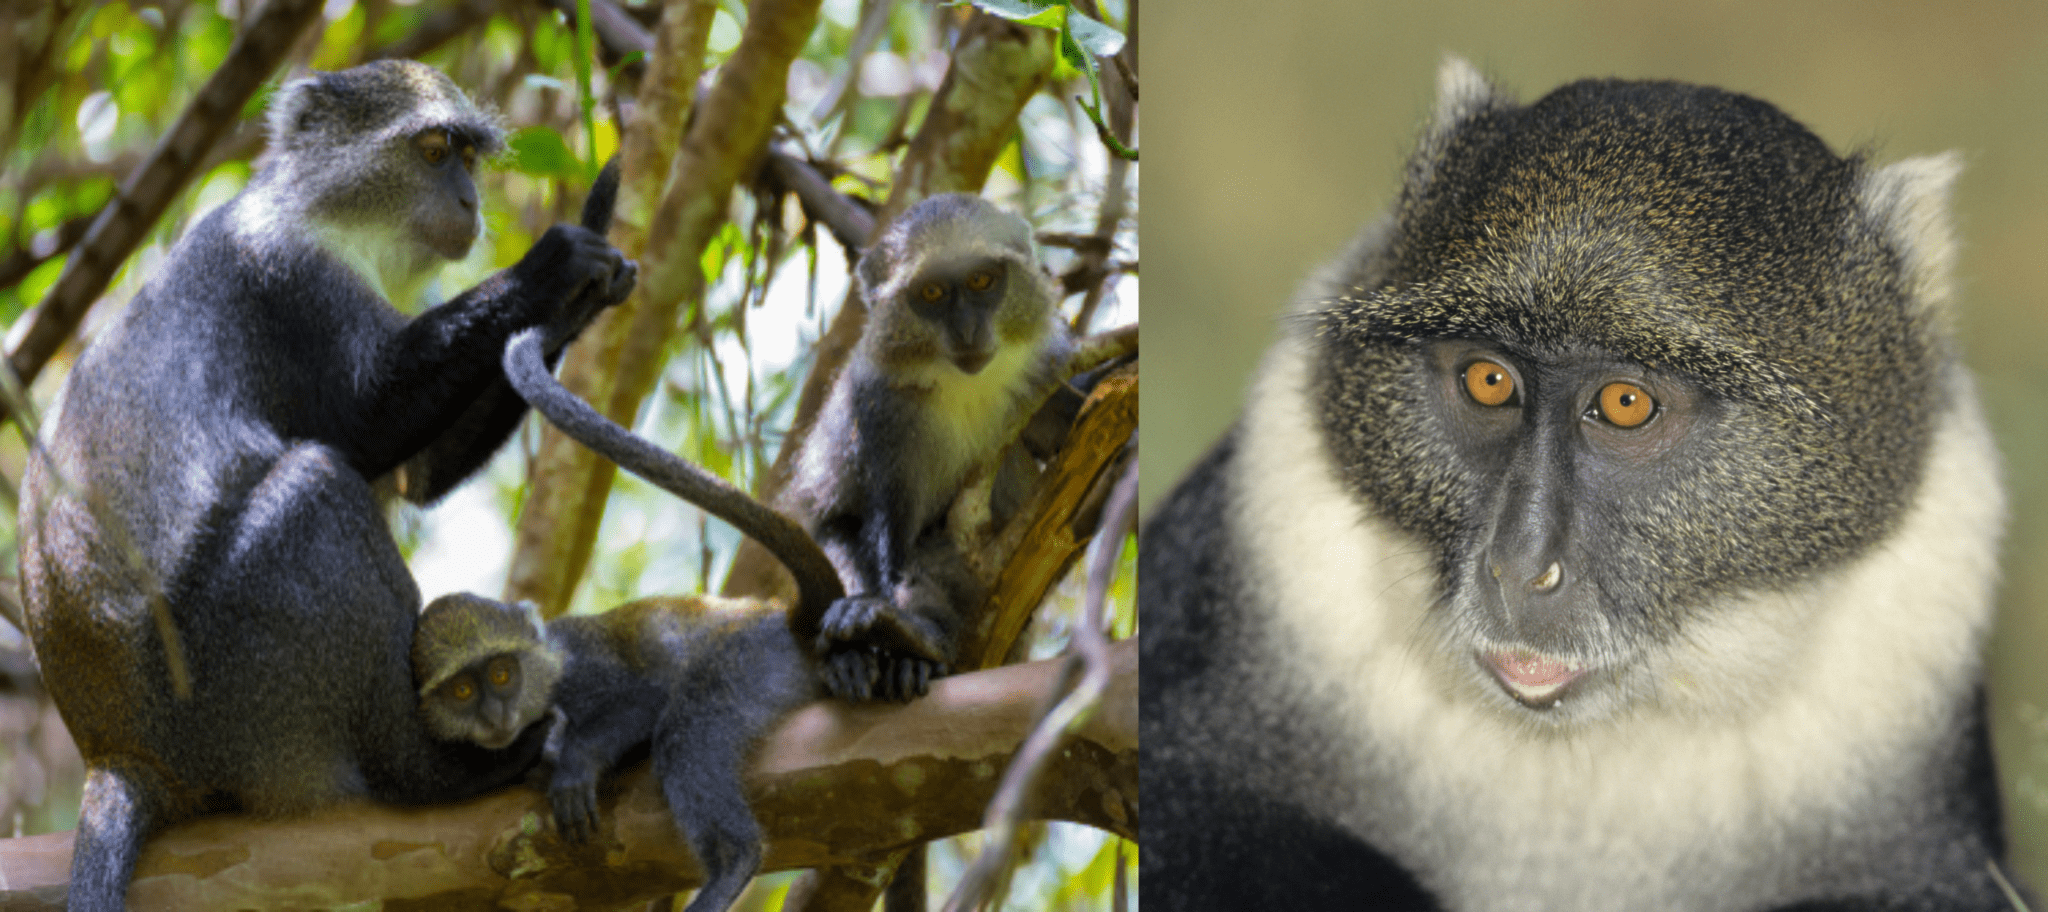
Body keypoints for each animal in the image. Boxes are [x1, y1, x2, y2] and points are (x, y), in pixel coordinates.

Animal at [17, 59, 635, 911]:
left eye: (468, 159)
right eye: (434, 150)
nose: (470, 204)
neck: (322, 213)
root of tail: (117, 756)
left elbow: (415, 472)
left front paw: (590, 291)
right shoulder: (287, 276)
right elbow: (364, 420)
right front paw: (556, 265)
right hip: (232, 704)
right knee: (314, 487)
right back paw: (439, 773)